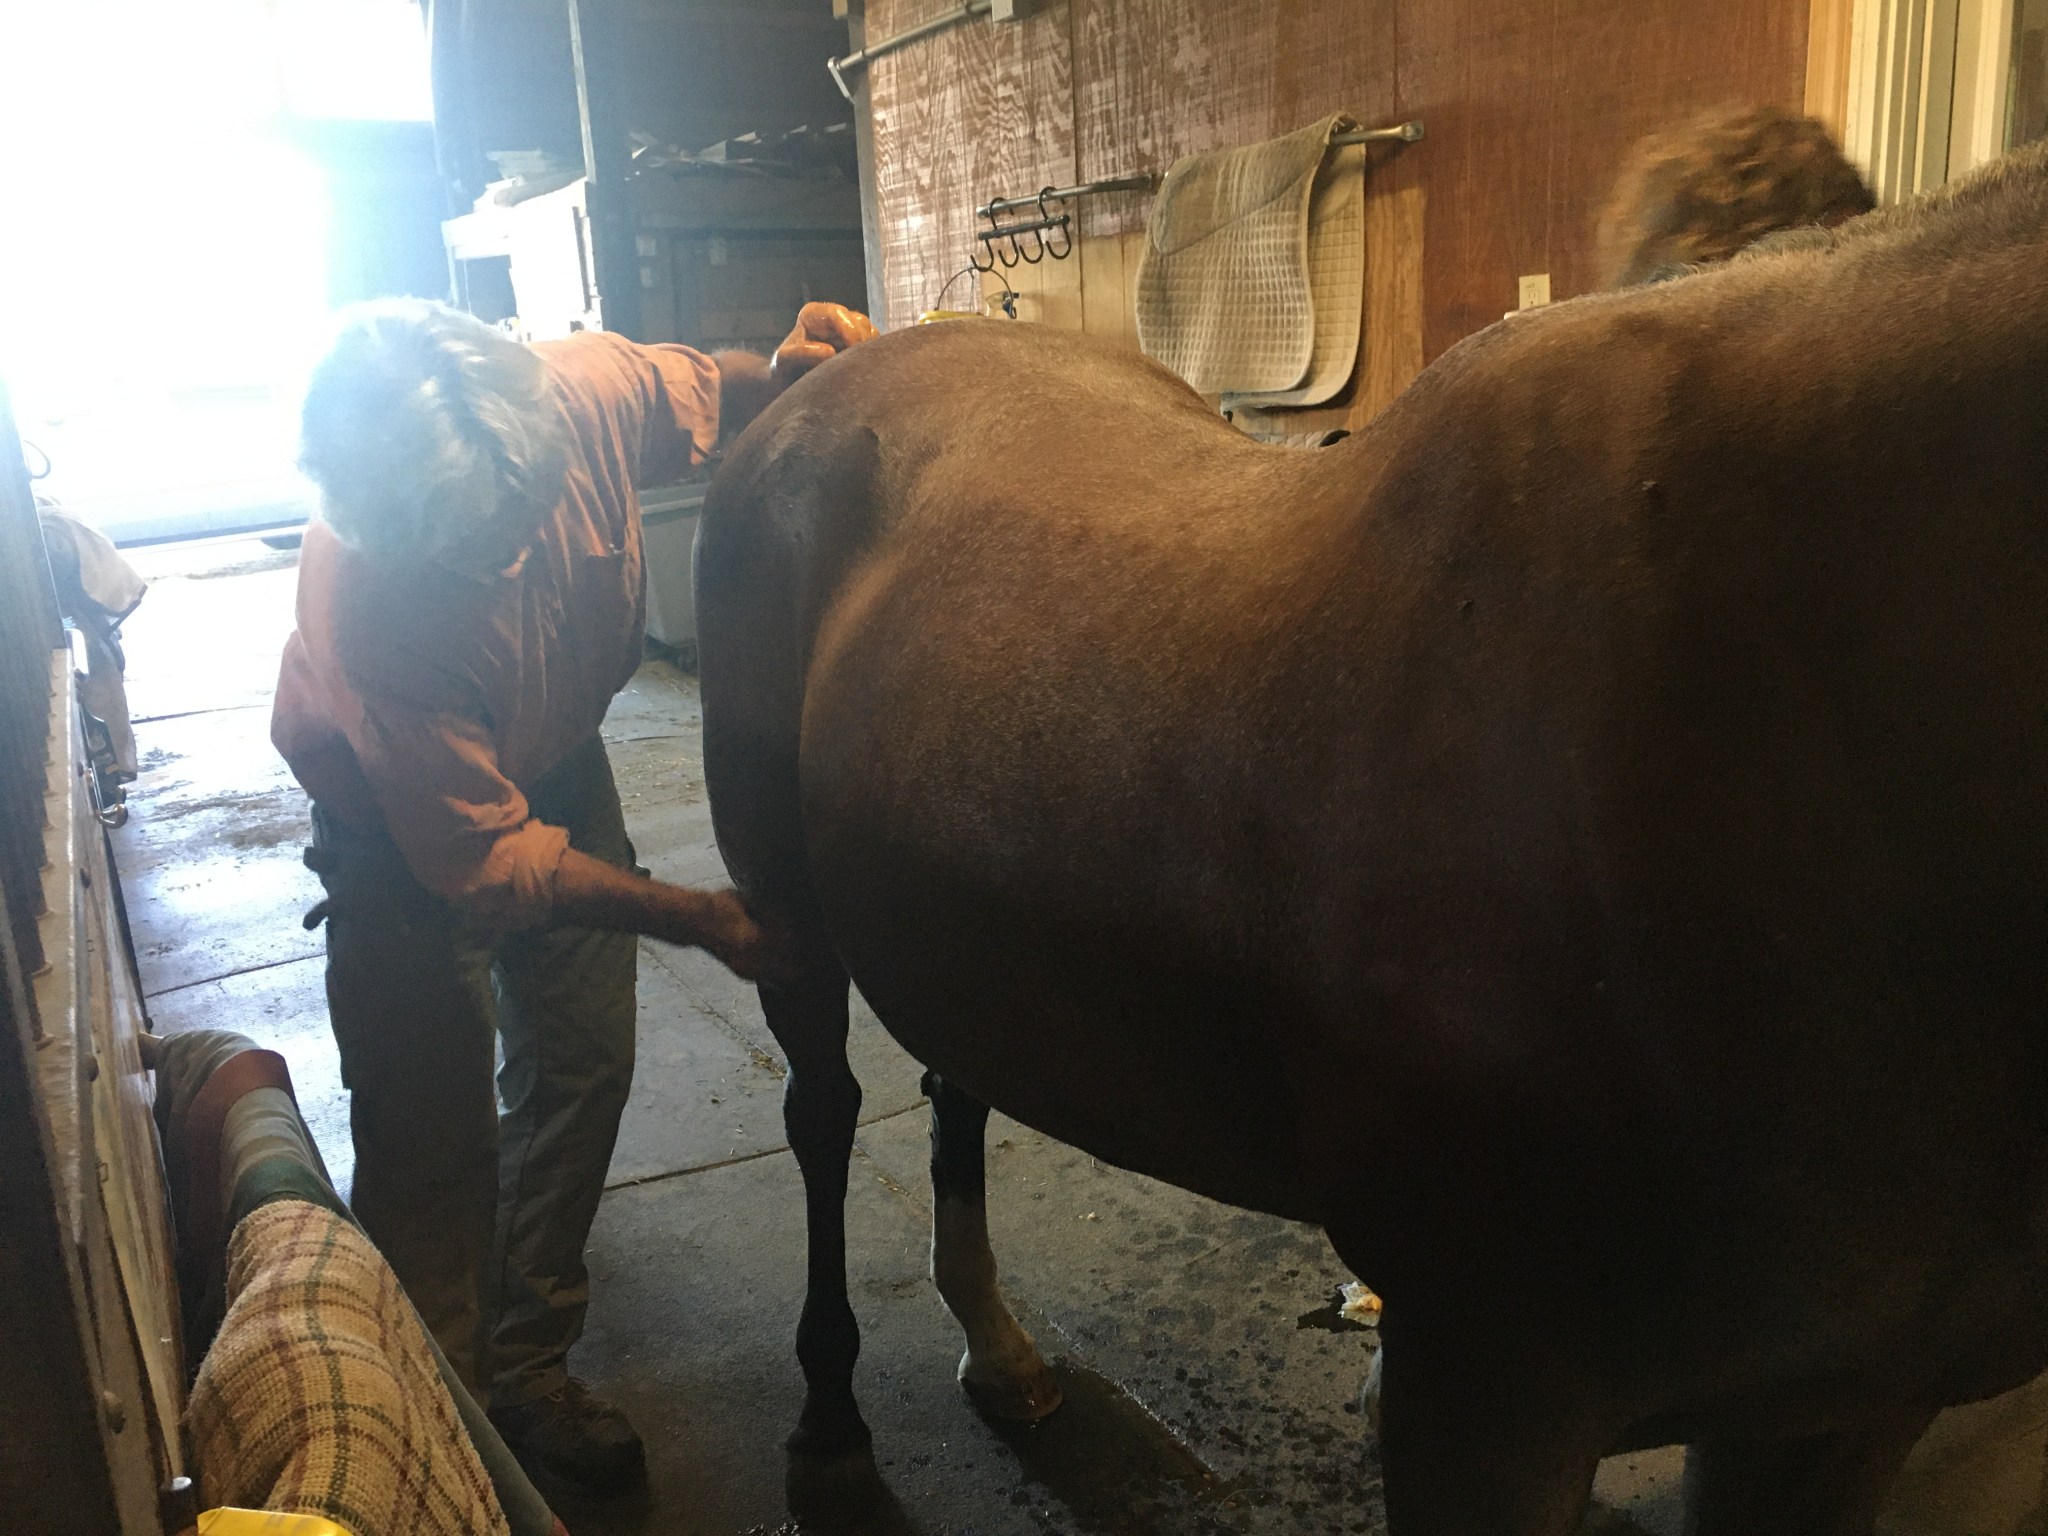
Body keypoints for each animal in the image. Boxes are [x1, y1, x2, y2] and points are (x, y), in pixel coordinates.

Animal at [691, 140, 2048, 1535]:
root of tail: (824, 374)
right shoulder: (1482, 1394)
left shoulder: (1837, 1413)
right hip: (787, 919)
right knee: (823, 1118)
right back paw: (830, 1438)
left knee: (955, 1077)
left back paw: (998, 1350)